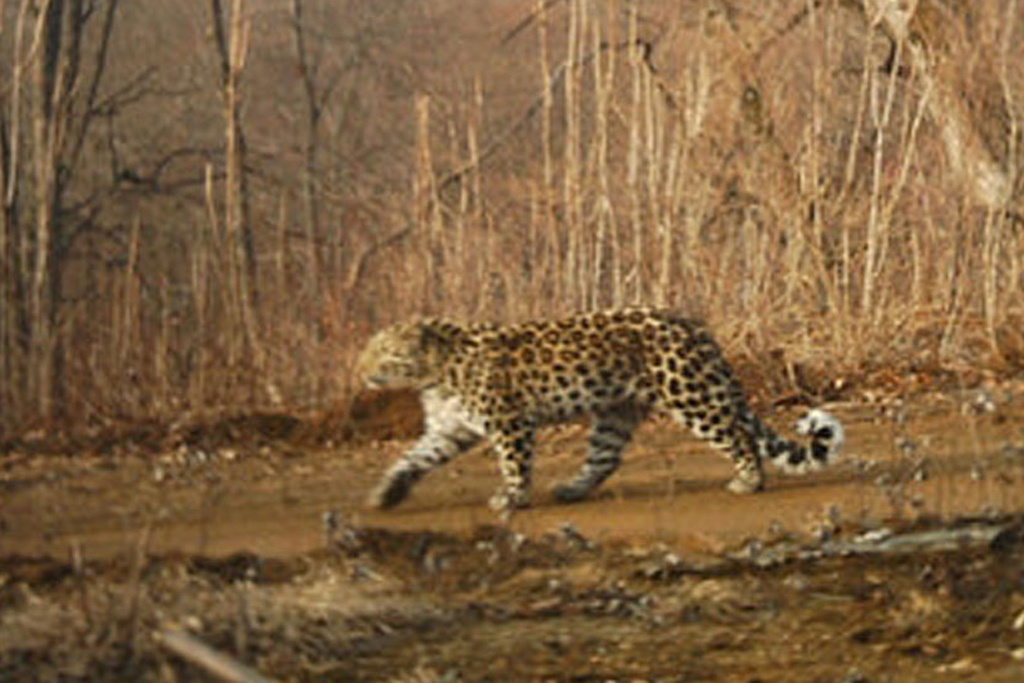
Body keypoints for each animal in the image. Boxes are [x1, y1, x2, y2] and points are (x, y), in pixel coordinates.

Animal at [356, 307, 844, 520]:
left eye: (384, 353)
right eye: (368, 350)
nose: (362, 371)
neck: (433, 374)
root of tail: (694, 326)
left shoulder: (508, 422)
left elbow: (513, 464)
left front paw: (511, 499)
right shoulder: (448, 430)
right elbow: (412, 459)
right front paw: (384, 494)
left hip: (690, 394)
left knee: (739, 435)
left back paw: (748, 481)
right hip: (616, 410)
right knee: (606, 457)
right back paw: (572, 489)